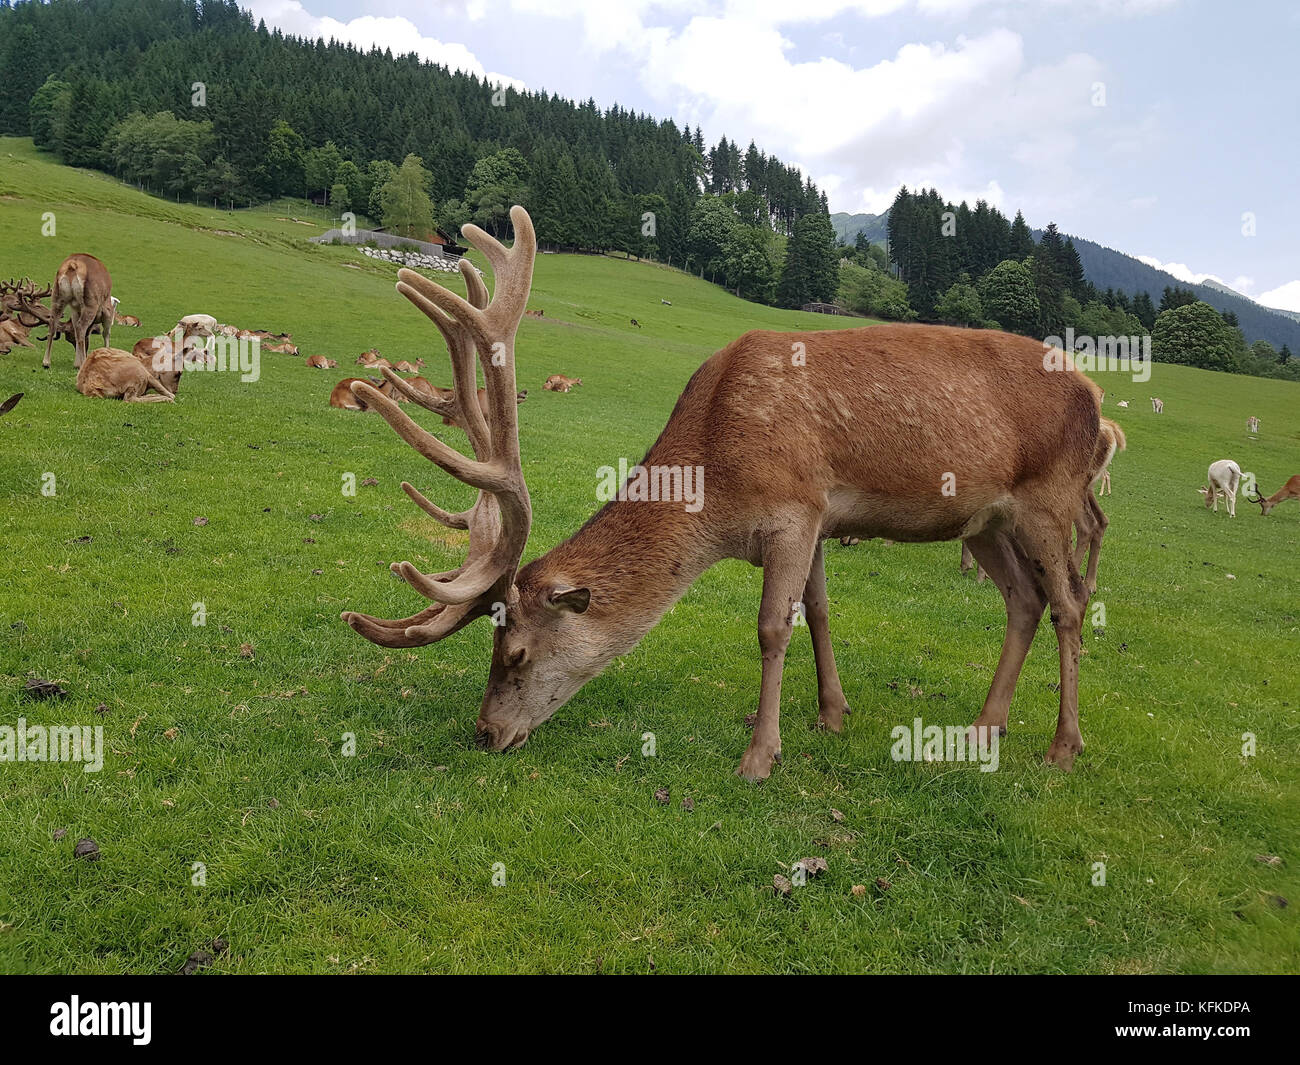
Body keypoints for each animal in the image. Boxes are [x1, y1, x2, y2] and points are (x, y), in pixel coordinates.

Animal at [340, 206, 1112, 780]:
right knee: (1025, 600)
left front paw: (760, 756)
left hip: (1051, 497)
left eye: (517, 653)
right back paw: (984, 727)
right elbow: (819, 612)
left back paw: (1061, 746)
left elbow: (773, 627)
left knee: (1072, 603)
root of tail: (1097, 398)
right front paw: (832, 715)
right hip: (987, 520)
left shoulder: (794, 508)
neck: (716, 491)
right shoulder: (822, 516)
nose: (486, 733)